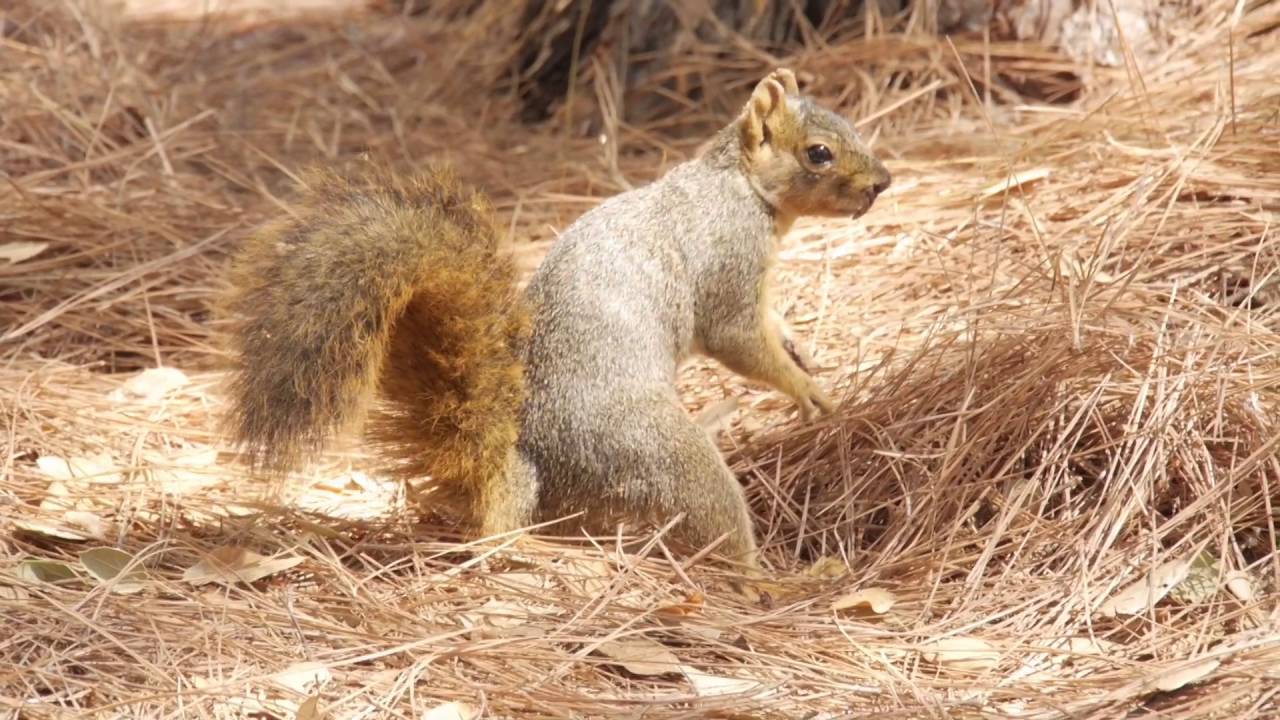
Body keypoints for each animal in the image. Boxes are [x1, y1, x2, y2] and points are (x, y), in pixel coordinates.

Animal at [220, 68, 891, 575]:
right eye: (819, 153)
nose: (883, 183)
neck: (739, 185)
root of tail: (528, 468)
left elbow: (768, 326)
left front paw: (797, 347)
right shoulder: (726, 260)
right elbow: (737, 340)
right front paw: (804, 388)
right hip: (658, 455)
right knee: (721, 538)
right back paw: (783, 581)